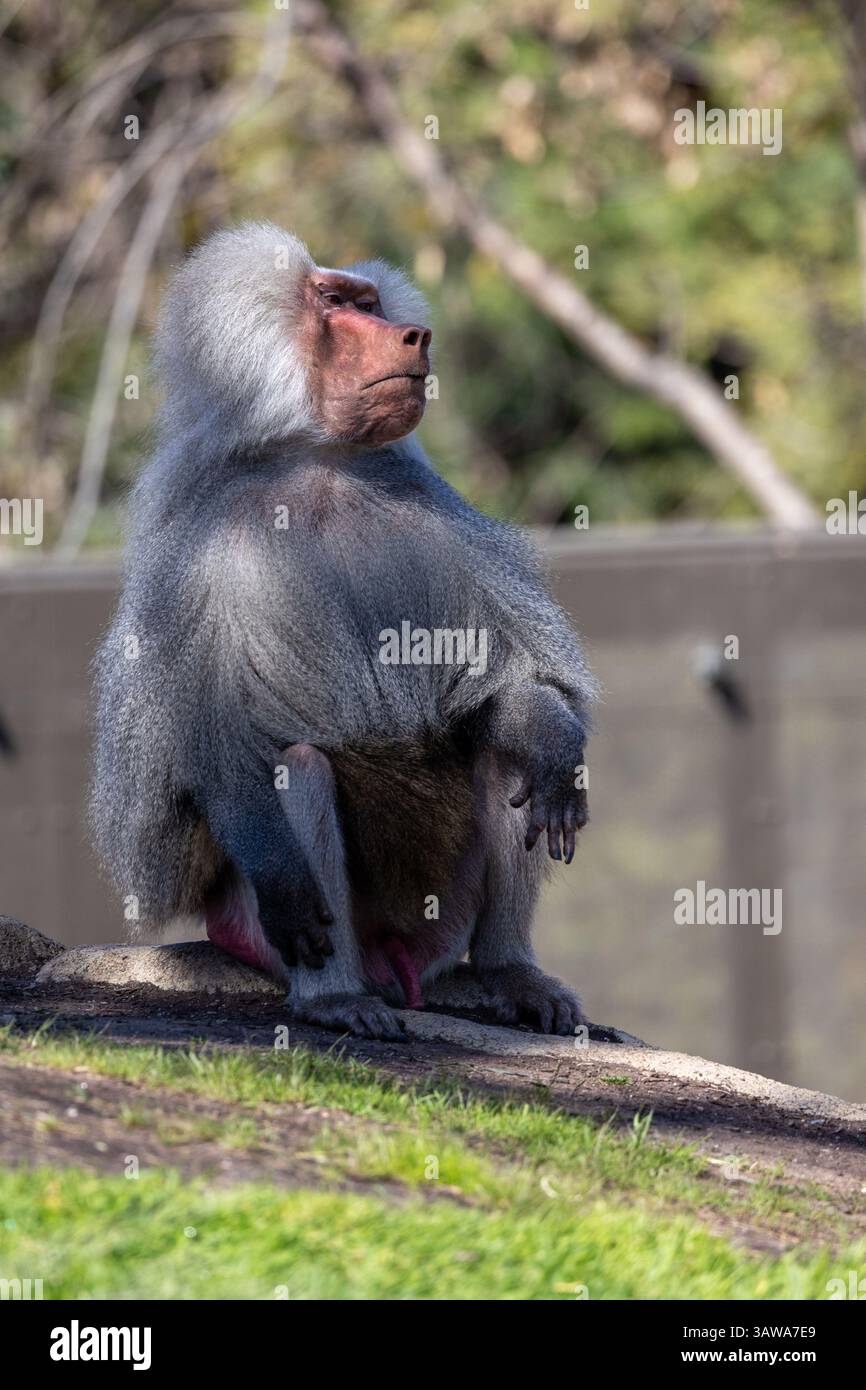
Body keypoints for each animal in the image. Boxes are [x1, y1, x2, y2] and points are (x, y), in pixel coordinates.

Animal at [91, 221, 598, 1040]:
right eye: (333, 303)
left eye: (370, 302)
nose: (416, 337)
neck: (319, 466)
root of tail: (395, 967)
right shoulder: (195, 552)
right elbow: (212, 746)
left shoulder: (434, 513)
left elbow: (521, 686)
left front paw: (556, 744)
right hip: (260, 925)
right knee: (296, 771)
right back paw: (334, 1000)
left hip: (441, 923)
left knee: (503, 754)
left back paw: (511, 975)